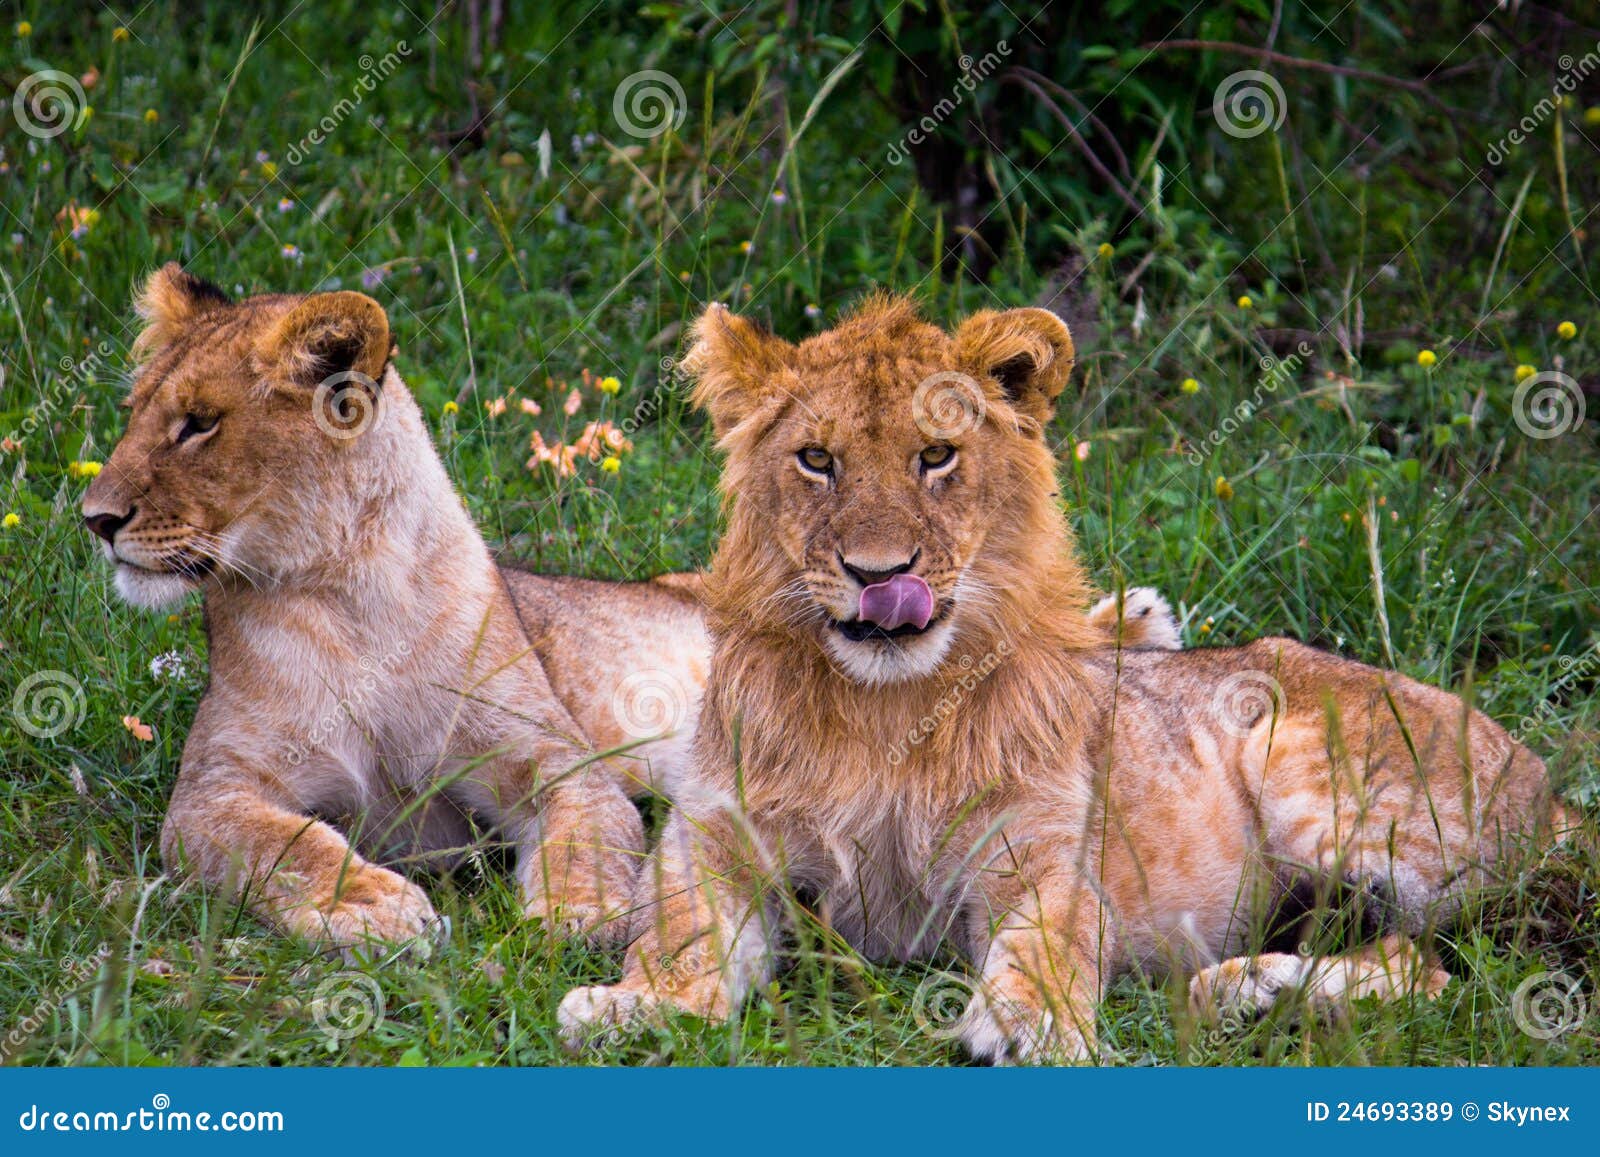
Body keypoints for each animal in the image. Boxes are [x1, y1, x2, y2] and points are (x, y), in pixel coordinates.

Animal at [81, 268, 1177, 958]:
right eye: (137, 415)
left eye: (198, 423)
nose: (94, 518)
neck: (346, 595)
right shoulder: (212, 794)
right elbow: (287, 843)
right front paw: (376, 907)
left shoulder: (557, 754)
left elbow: (589, 826)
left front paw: (584, 912)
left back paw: (1137, 620)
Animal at [557, 294, 1576, 1062]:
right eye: (817, 459)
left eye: (937, 456)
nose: (881, 574)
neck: (886, 712)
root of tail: (1551, 784)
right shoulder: (713, 839)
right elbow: (684, 933)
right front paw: (637, 1003)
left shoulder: (1040, 851)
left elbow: (1047, 943)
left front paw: (1025, 1026)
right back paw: (1248, 992)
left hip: (1314, 777)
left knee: (1430, 970)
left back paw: (1253, 993)